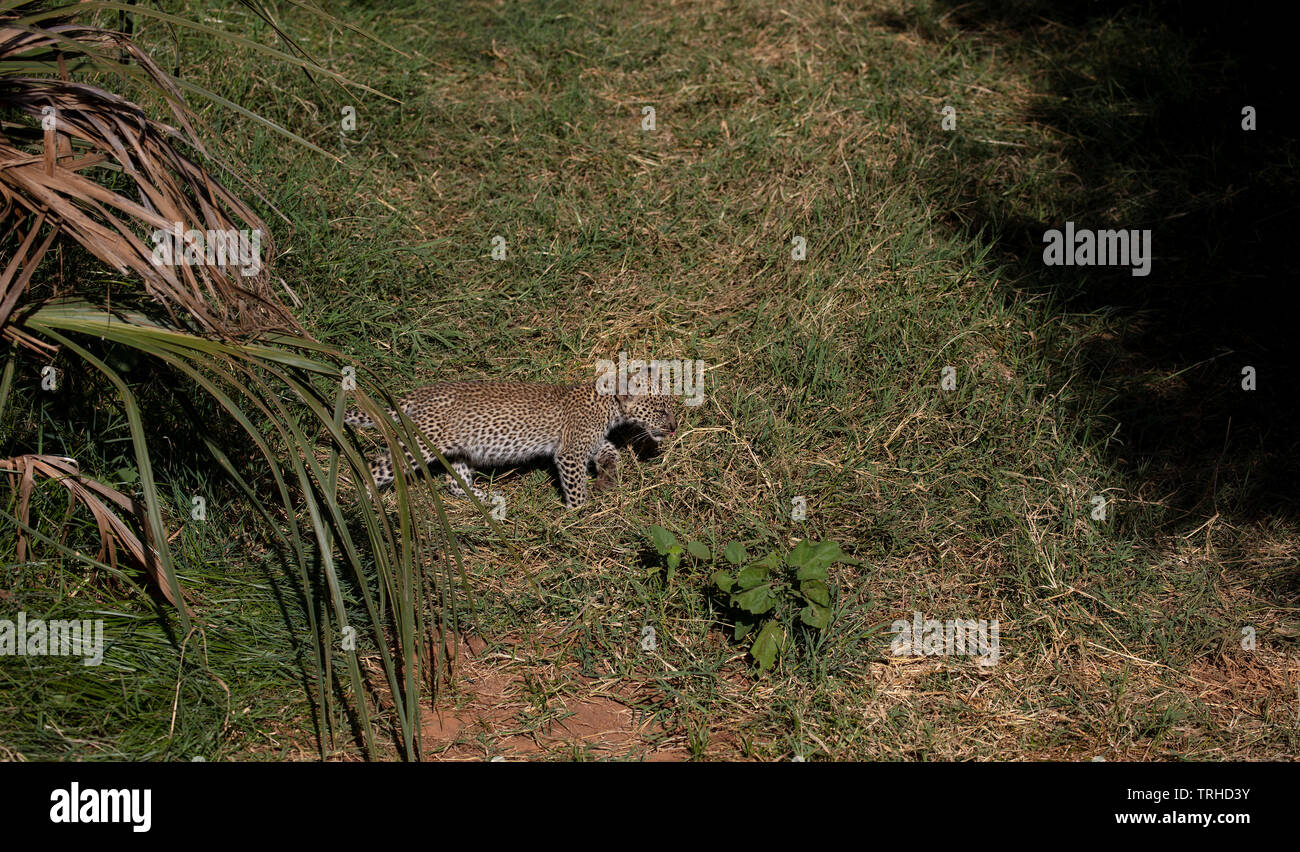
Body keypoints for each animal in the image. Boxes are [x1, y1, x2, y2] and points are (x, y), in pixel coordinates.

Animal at [344, 365, 679, 508]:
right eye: (662, 411)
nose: (674, 428)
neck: (609, 405)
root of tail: (421, 393)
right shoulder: (569, 453)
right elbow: (575, 488)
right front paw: (579, 515)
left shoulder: (591, 442)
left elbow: (612, 453)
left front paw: (607, 480)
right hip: (419, 445)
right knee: (375, 468)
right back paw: (361, 506)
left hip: (461, 451)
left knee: (455, 483)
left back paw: (488, 501)